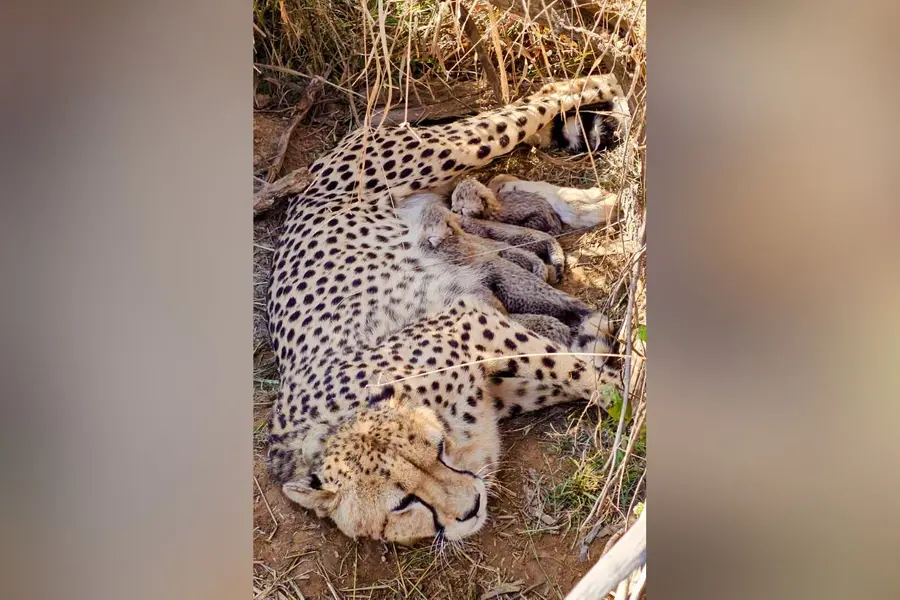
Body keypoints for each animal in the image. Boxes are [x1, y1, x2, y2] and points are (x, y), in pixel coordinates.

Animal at [265, 75, 628, 545]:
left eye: (437, 449)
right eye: (402, 504)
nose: (470, 508)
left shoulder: (472, 324)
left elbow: (581, 373)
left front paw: (635, 397)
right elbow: (575, 366)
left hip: (453, 148)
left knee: (552, 95)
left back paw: (611, 96)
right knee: (505, 178)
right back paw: (591, 205)